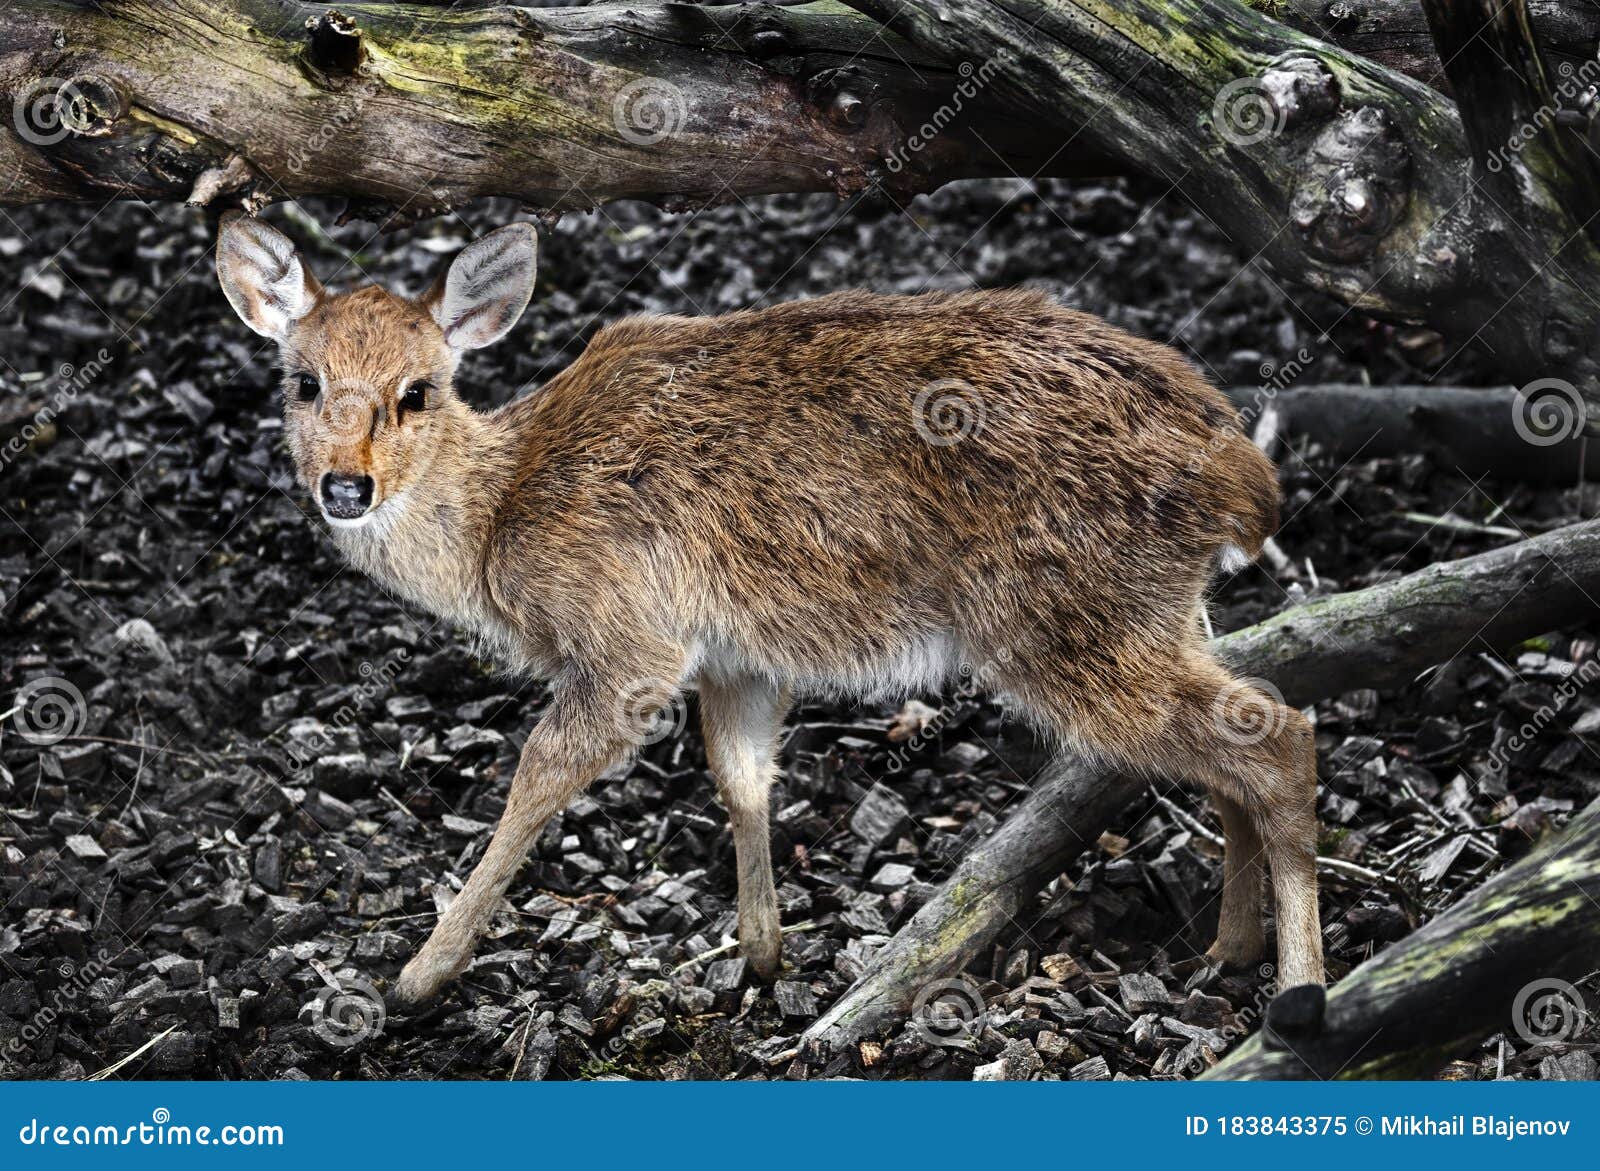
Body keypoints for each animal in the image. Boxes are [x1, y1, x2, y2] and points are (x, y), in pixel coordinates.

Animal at [214, 211, 1323, 1008]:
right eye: (302, 381)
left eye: (419, 390)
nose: (345, 486)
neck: (501, 522)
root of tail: (1246, 478)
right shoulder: (737, 658)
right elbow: (743, 780)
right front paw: (761, 959)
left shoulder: (628, 643)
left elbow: (535, 779)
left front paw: (414, 979)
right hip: (1153, 612)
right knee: (1247, 713)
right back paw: (1228, 948)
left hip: (1067, 619)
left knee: (1277, 732)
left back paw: (1297, 992)